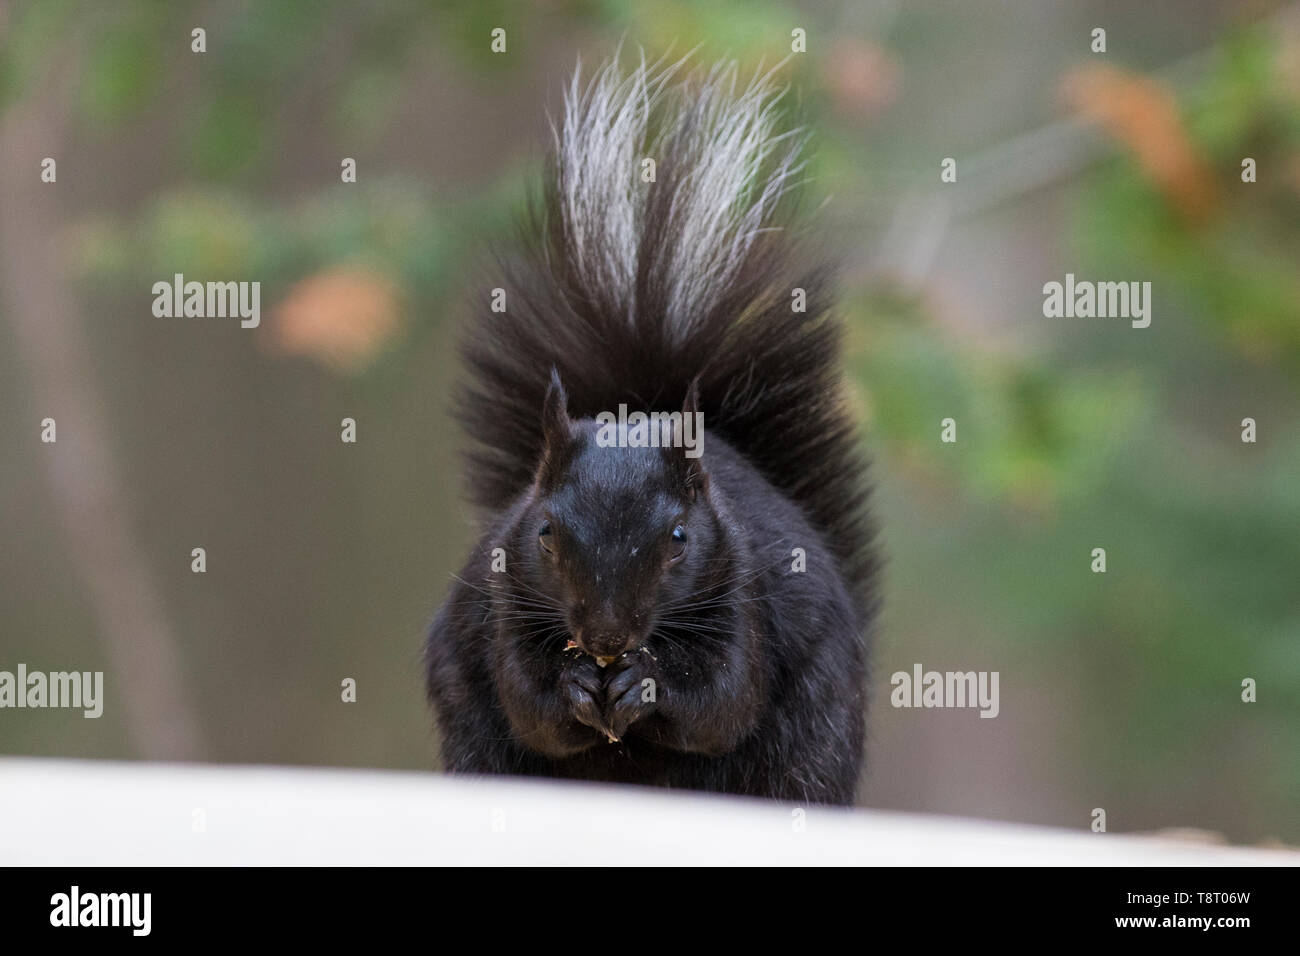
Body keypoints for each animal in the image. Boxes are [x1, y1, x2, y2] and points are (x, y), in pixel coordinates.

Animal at [425, 56, 877, 805]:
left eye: (680, 538)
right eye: (544, 533)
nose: (606, 637)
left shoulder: (743, 598)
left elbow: (723, 702)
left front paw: (647, 683)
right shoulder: (503, 602)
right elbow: (527, 702)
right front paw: (573, 685)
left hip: (807, 755)